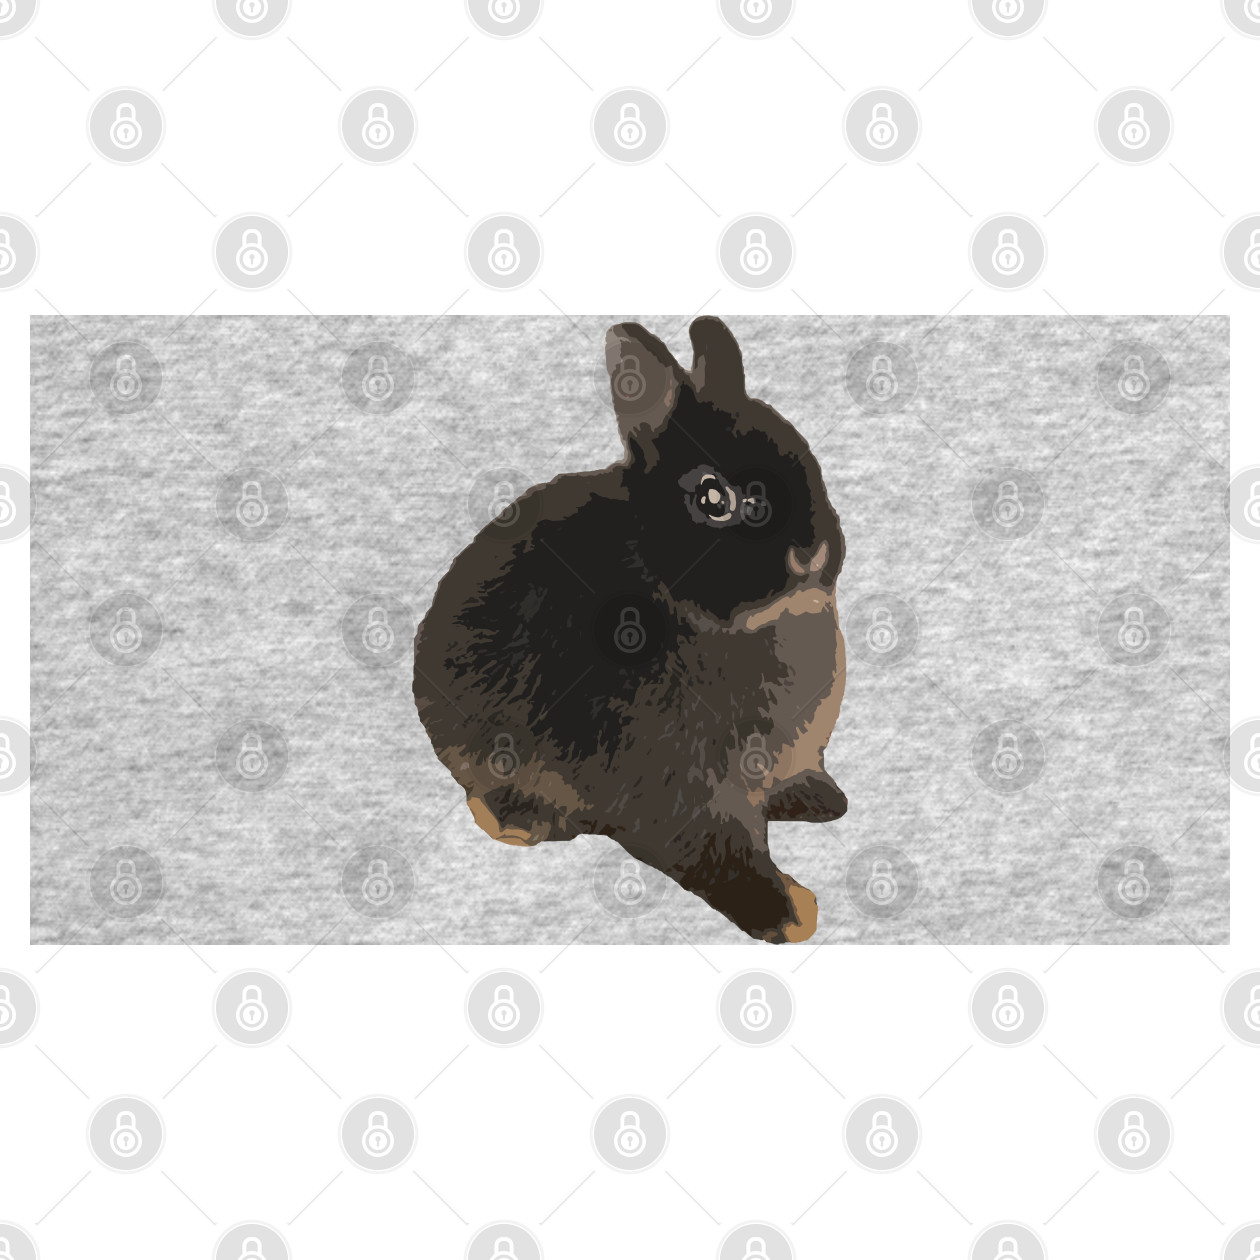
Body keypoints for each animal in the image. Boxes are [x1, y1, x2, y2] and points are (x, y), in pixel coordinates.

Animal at [413, 317, 847, 943]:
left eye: (804, 454)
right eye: (713, 498)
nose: (813, 555)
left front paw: (822, 801)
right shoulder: (681, 787)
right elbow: (716, 851)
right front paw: (788, 914)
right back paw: (519, 820)